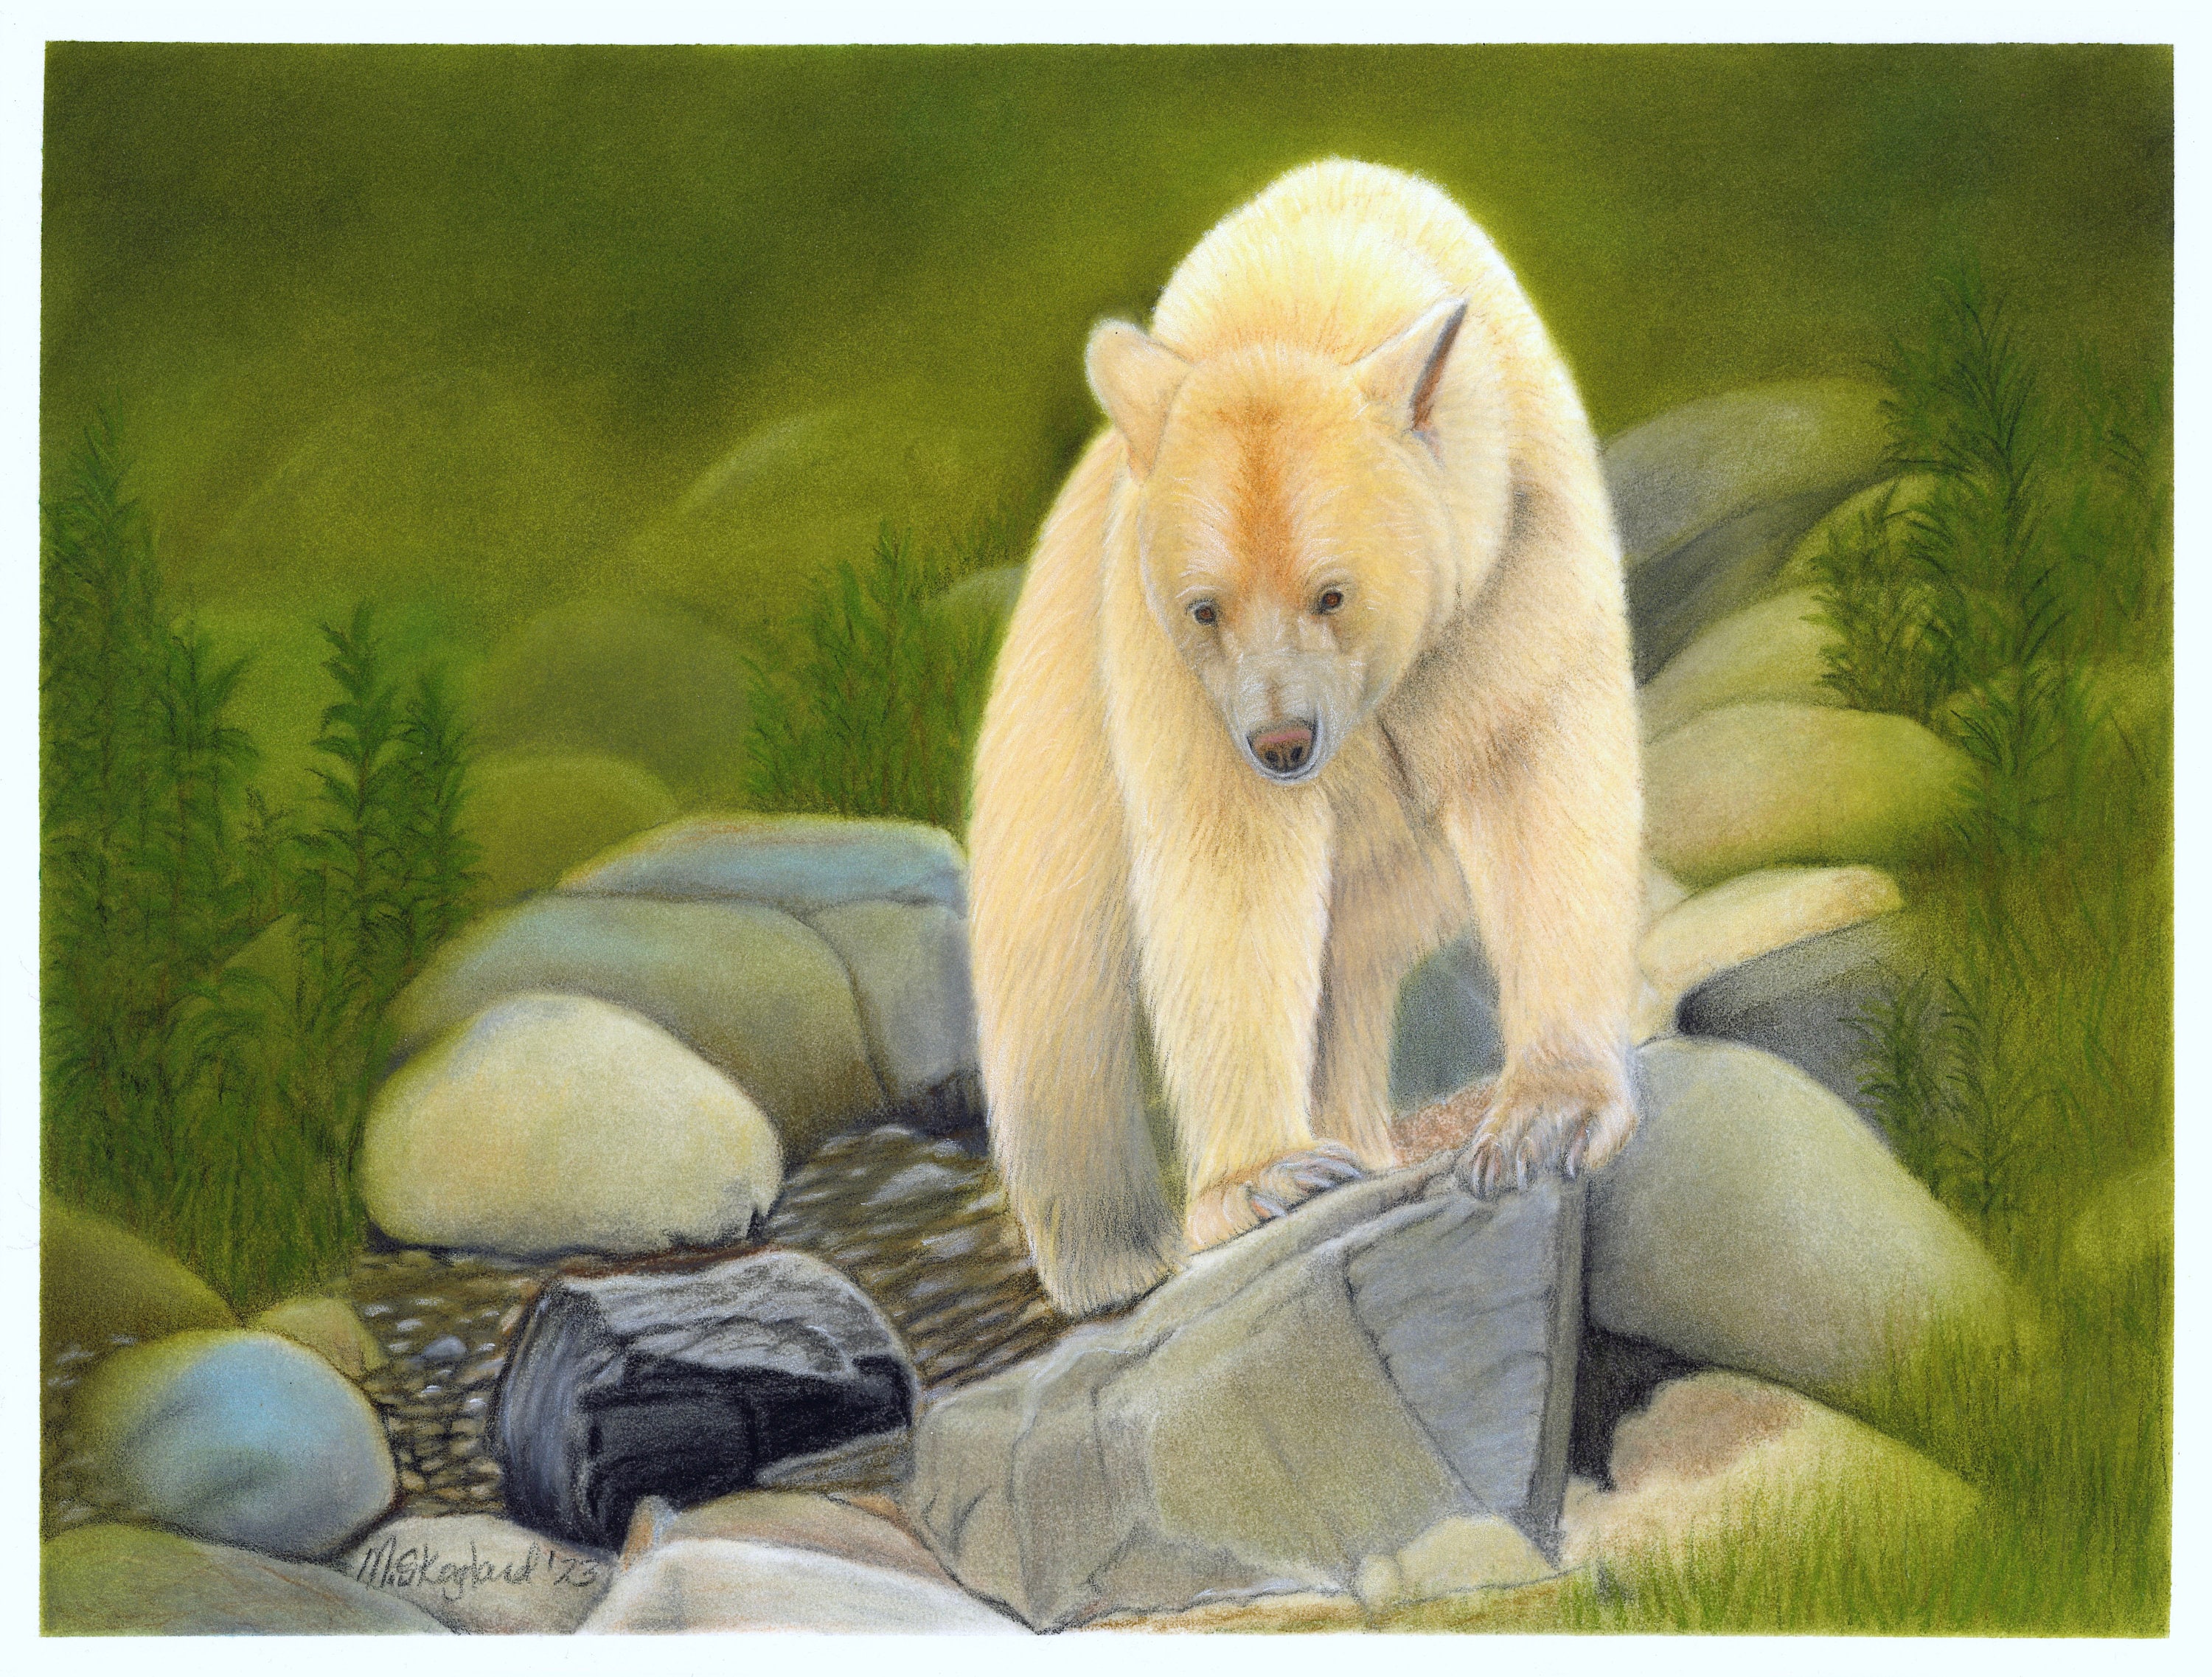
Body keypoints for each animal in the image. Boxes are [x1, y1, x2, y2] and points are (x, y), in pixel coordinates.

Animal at [967, 159, 1644, 1318]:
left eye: (1334, 591)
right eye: (1205, 606)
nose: (1284, 741)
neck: (1307, 269)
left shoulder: (1516, 556)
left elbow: (1538, 779)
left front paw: (1541, 1122)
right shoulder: (1161, 664)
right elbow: (1230, 866)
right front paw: (1266, 1179)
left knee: (1360, 945)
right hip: (1055, 697)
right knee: (1053, 985)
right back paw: (1115, 1253)